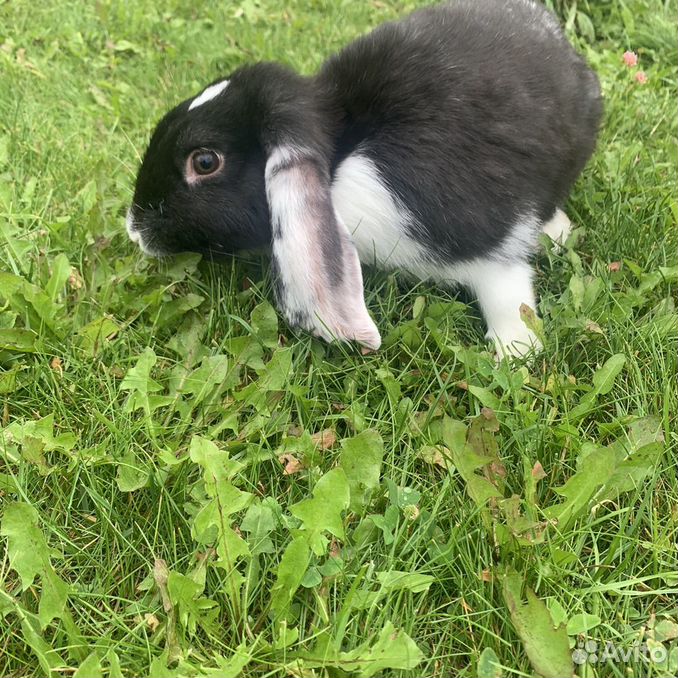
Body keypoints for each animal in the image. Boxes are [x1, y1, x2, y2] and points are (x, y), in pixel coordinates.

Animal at [127, 0, 602, 356]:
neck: (342, 163)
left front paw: (516, 354)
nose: (133, 228)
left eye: (205, 162)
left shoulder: (487, 242)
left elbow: (508, 294)